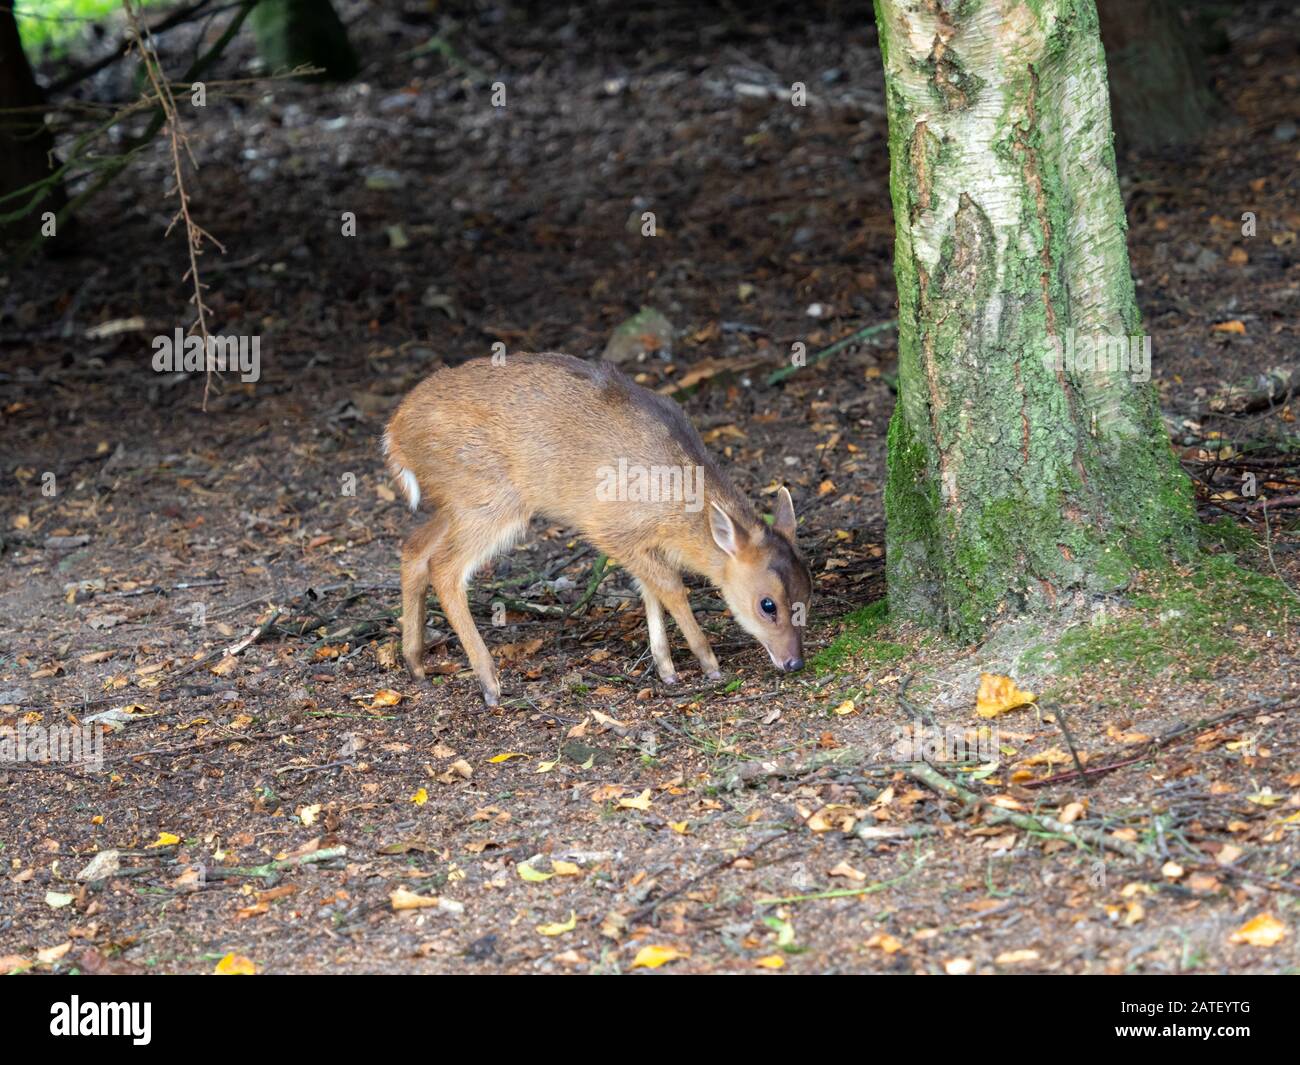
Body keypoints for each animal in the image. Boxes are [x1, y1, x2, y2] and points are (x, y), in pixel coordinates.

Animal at [383, 352, 812, 706]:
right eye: (767, 604)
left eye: (808, 596)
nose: (794, 662)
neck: (675, 505)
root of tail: (394, 434)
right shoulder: (611, 529)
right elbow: (670, 586)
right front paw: (708, 663)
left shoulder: (641, 543)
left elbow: (650, 591)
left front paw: (667, 669)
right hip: (489, 497)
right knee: (444, 567)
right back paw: (490, 684)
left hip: (459, 502)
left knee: (413, 547)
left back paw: (415, 663)